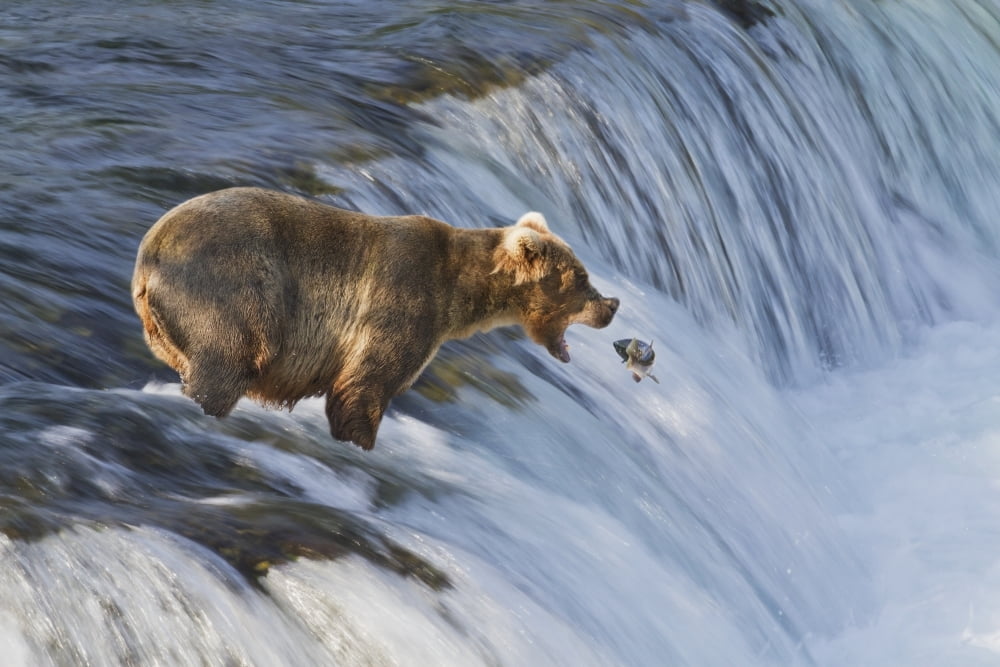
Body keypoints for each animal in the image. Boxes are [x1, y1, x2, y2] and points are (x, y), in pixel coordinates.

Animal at [132, 187, 619, 450]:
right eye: (581, 277)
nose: (613, 305)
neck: (459, 293)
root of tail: (147, 255)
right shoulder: (403, 301)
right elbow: (366, 381)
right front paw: (360, 438)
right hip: (233, 285)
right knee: (232, 359)